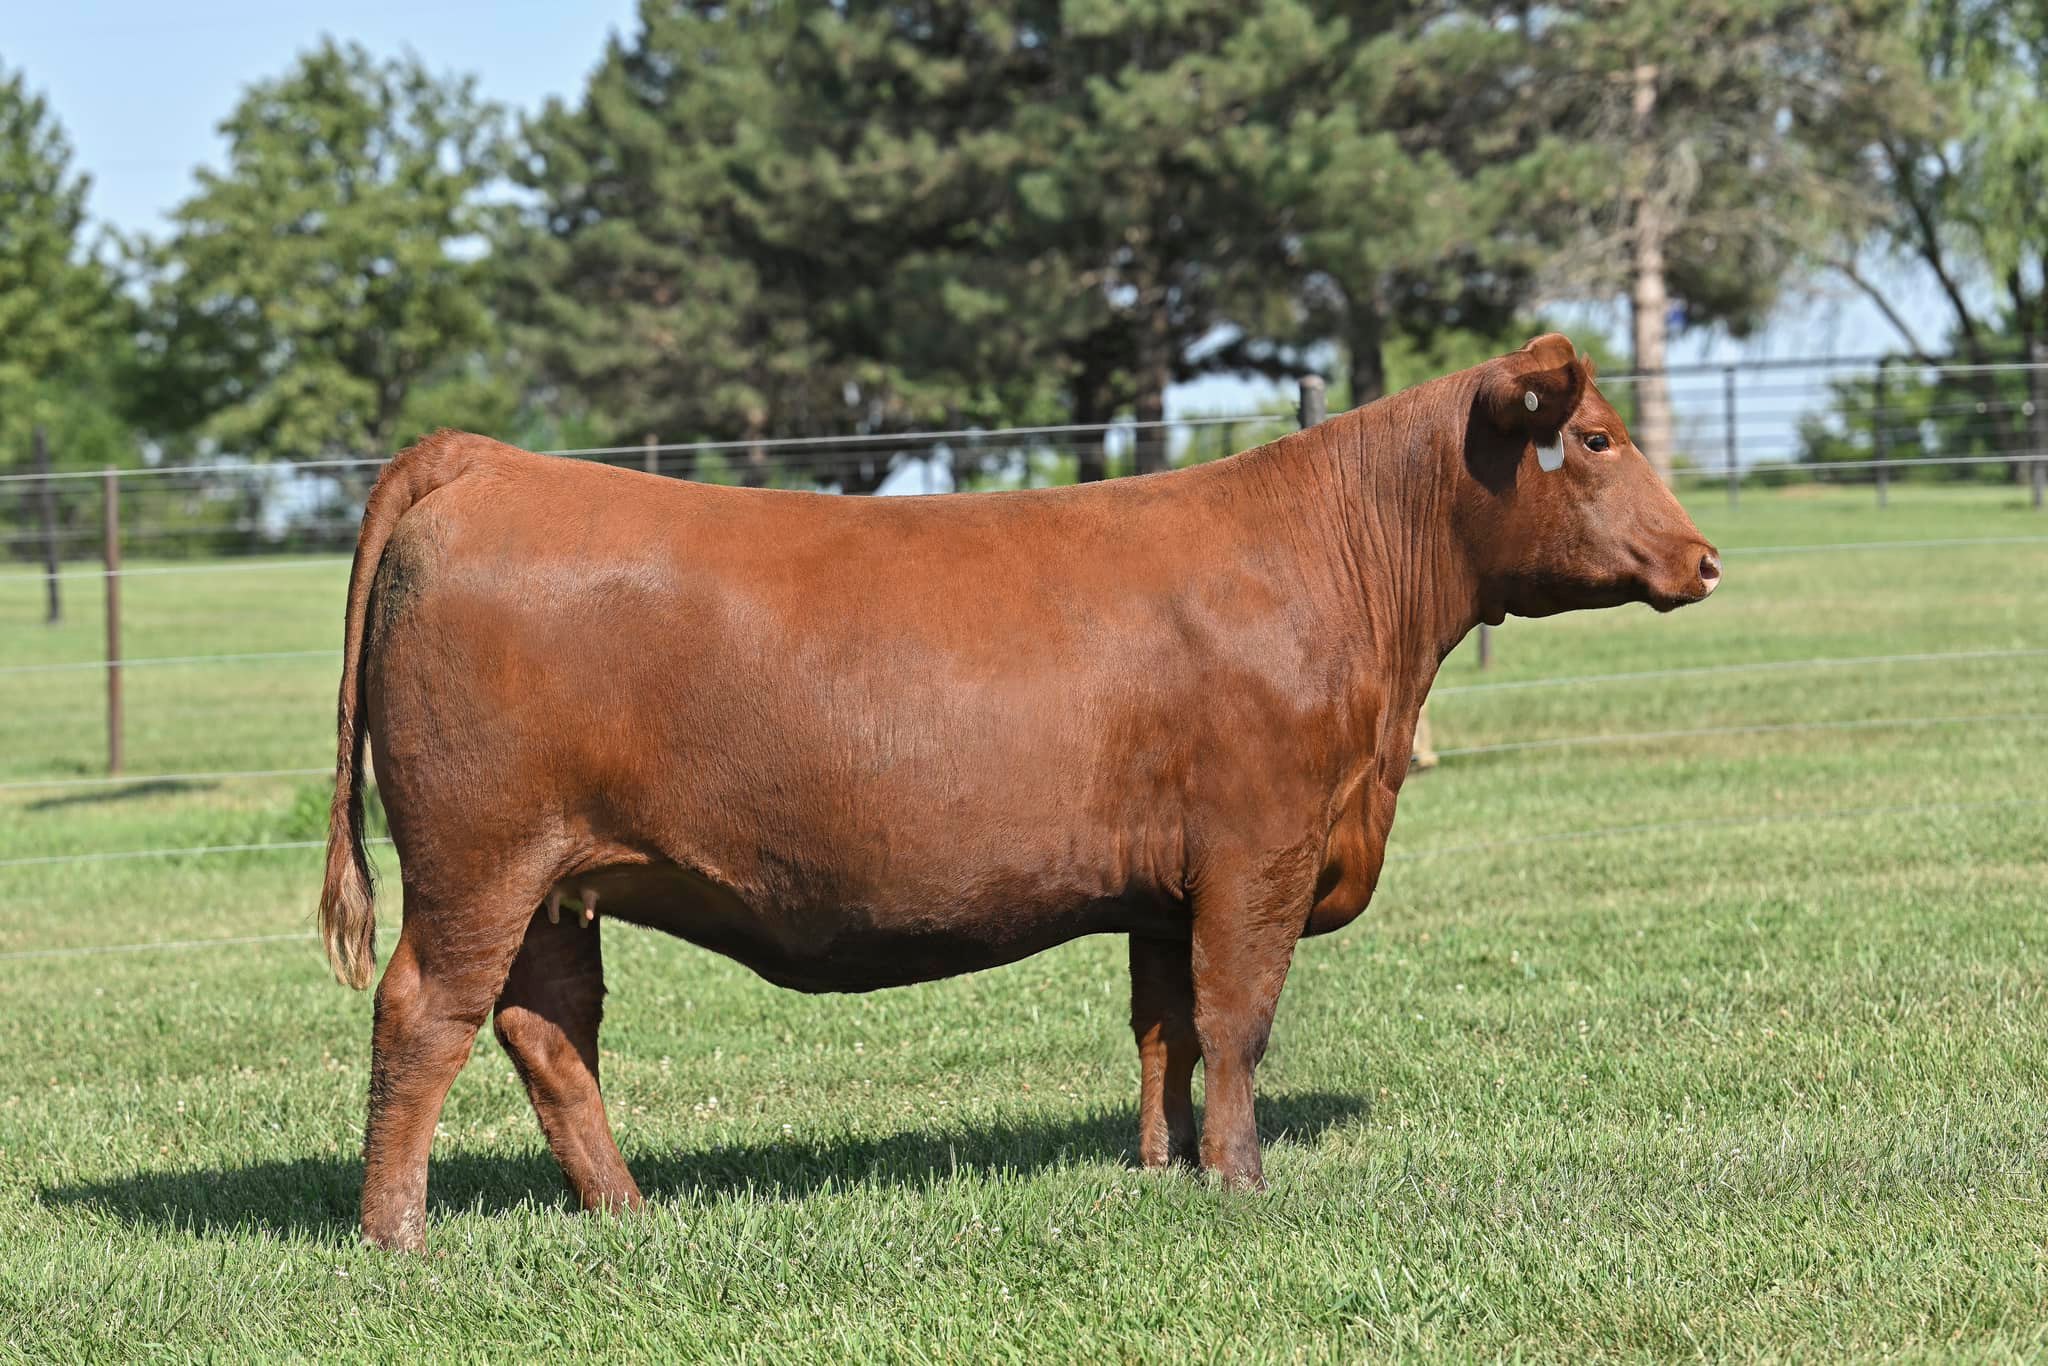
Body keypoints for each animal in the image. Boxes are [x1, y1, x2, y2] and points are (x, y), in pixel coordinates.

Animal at [320, 334, 1719, 1250]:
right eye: (1594, 439)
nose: (1705, 557)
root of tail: (489, 461)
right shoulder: (1255, 849)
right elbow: (1237, 1019)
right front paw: (1240, 1181)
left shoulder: (1165, 885)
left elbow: (1164, 1027)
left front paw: (1159, 1168)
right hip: (478, 861)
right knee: (423, 1015)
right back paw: (398, 1238)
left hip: (561, 882)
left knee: (547, 1030)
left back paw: (625, 1213)